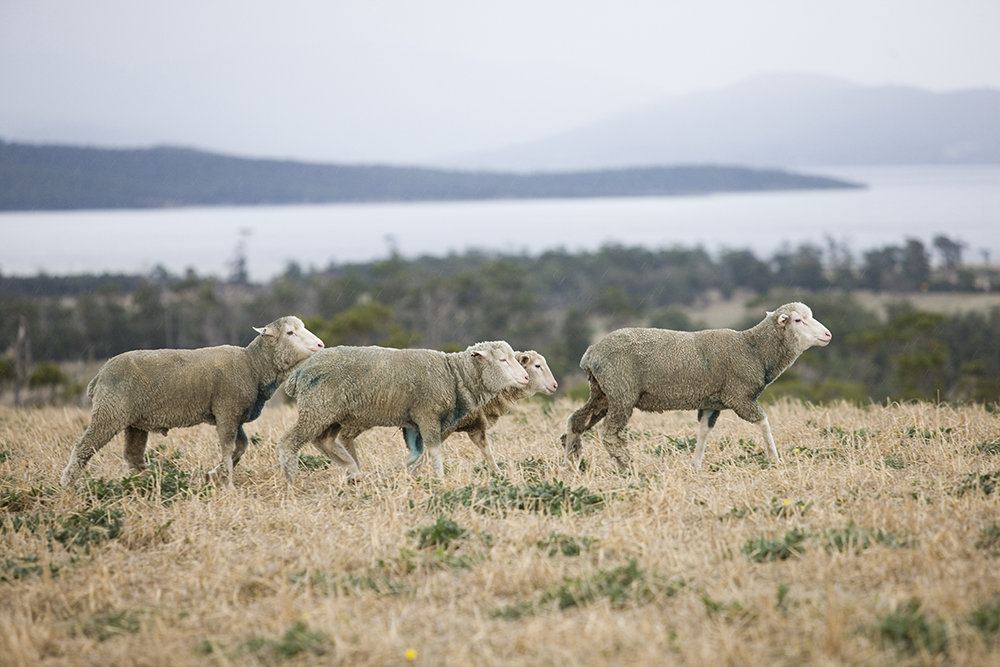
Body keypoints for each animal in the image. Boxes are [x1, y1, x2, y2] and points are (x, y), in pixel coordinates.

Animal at [60, 316, 324, 487]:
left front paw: (213, 475)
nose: (321, 344)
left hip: (134, 422)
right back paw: (68, 485)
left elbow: (241, 447)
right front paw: (226, 483)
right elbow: (228, 448)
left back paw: (149, 484)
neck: (252, 366)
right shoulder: (226, 411)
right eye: (290, 333)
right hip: (110, 412)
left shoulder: (233, 415)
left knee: (132, 456)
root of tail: (99, 376)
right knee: (84, 447)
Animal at [276, 340, 530, 482]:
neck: (453, 374)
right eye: (502, 360)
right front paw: (440, 479)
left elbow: (419, 452)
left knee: (324, 441)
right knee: (289, 442)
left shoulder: (416, 422)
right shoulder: (427, 415)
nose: (526, 377)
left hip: (332, 414)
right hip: (317, 408)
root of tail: (297, 375)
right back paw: (291, 482)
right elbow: (434, 450)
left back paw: (353, 471)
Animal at [402, 350, 559, 473]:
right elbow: (428, 454)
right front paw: (411, 474)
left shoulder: (476, 426)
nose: (555, 385)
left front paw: (499, 475)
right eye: (537, 365)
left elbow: (487, 453)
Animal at [560, 302, 831, 472]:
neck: (753, 350)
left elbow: (703, 431)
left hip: (602, 393)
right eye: (798, 320)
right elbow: (764, 422)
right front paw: (775, 460)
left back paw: (569, 465)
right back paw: (627, 466)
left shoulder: (713, 402)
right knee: (609, 434)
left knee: (576, 421)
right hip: (621, 393)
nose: (828, 335)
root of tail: (590, 354)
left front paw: (696, 465)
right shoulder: (739, 397)